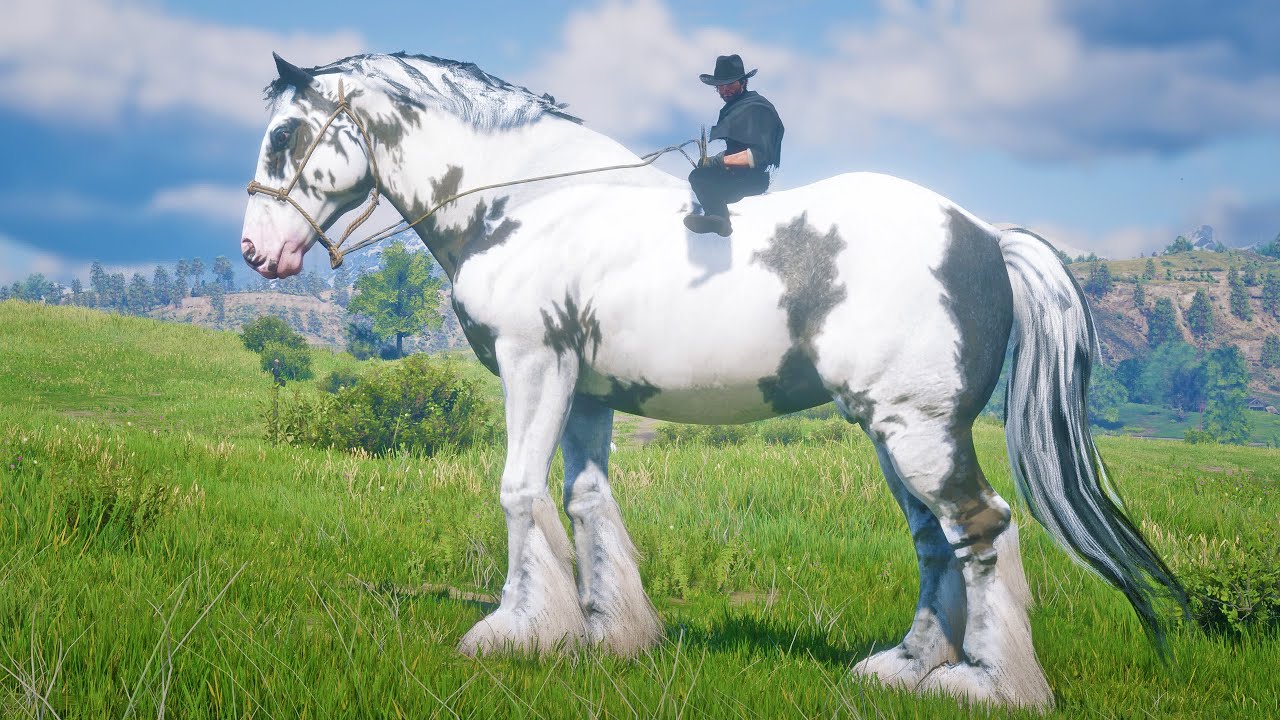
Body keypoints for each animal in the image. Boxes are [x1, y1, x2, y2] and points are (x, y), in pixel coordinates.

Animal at [239, 52, 1187, 710]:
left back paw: (988, 685)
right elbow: (585, 502)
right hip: (895, 433)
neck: (536, 204)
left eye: (284, 135)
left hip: (918, 430)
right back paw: (904, 668)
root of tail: (986, 236)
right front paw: (606, 634)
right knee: (934, 540)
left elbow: (517, 490)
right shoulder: (584, 392)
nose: (257, 252)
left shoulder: (532, 362)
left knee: (982, 527)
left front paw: (515, 630)